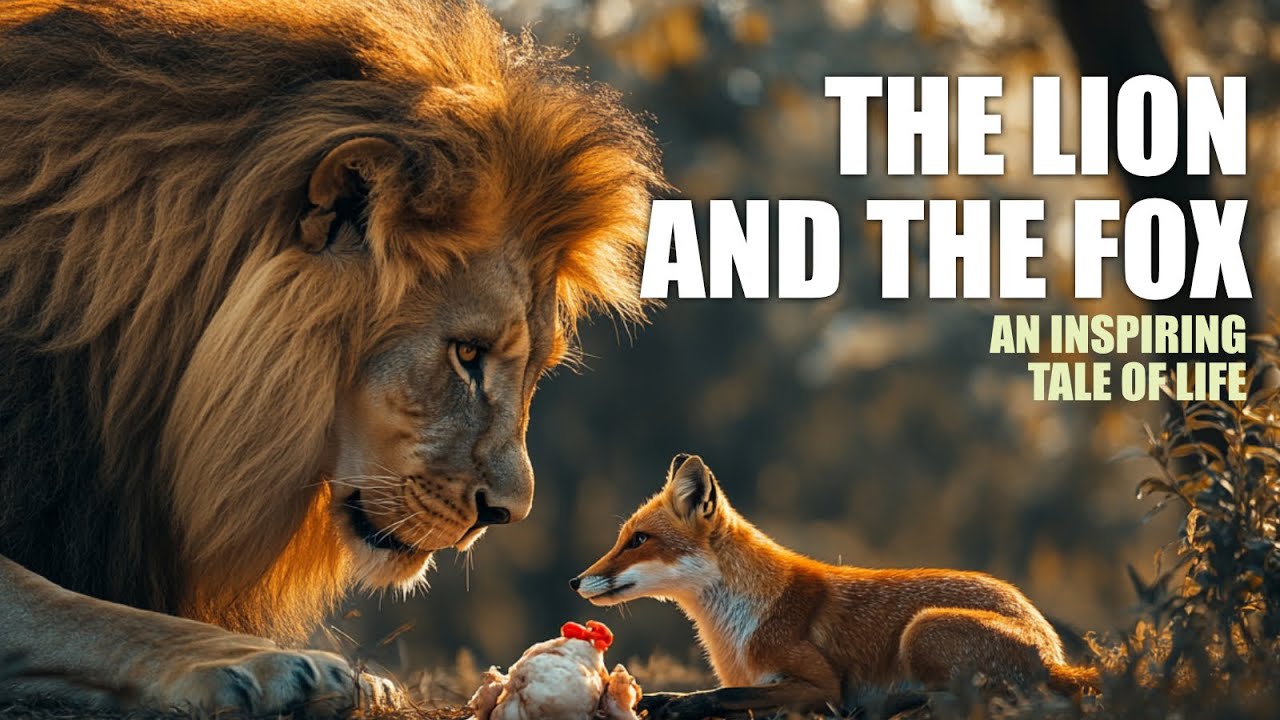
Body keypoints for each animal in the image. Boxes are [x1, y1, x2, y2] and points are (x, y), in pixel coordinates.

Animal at [571, 454, 1099, 719]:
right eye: (624, 537)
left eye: (639, 540)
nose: (575, 581)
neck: (738, 627)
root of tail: (1054, 650)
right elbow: (721, 693)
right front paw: (654, 701)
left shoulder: (817, 684)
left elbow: (720, 695)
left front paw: (675, 706)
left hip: (922, 628)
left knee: (964, 699)